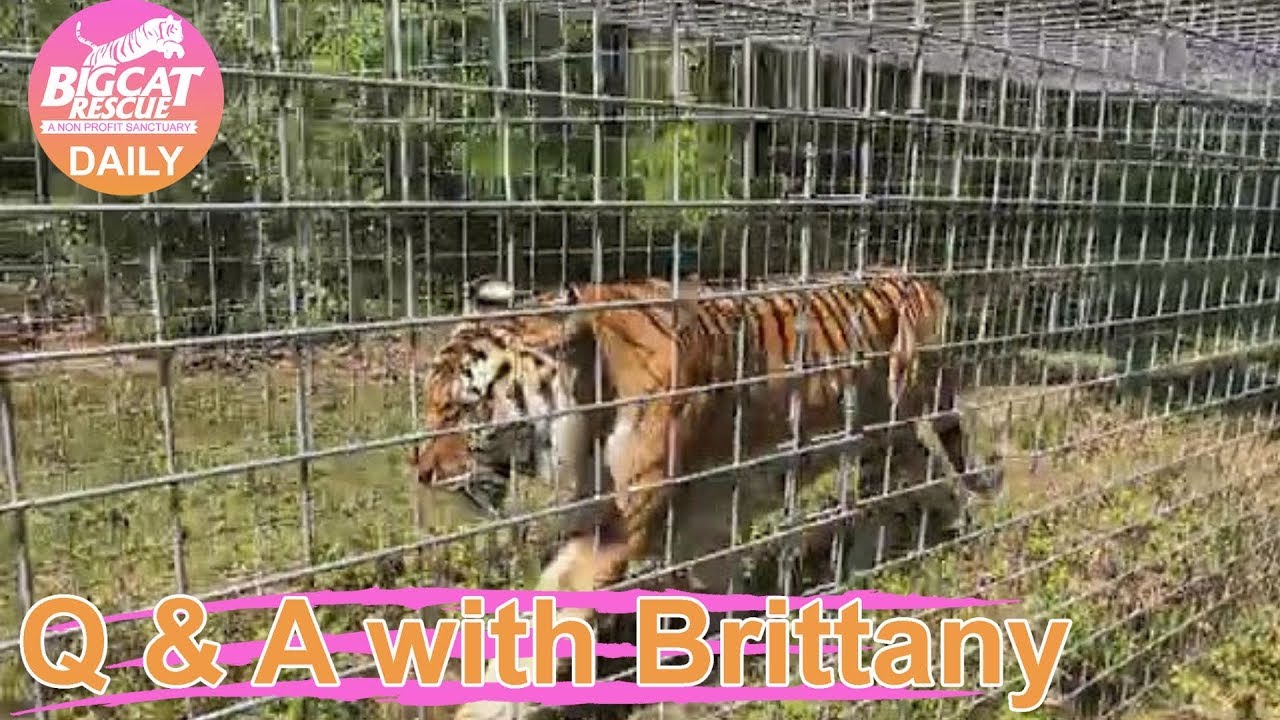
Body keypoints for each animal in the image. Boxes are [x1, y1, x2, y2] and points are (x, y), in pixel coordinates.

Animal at [413, 271, 1004, 720]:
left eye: (461, 409)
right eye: (429, 404)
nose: (419, 471)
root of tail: (916, 278)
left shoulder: (615, 533)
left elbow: (541, 627)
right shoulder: (687, 519)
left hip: (893, 420)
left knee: (894, 490)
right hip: (886, 434)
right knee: (923, 474)